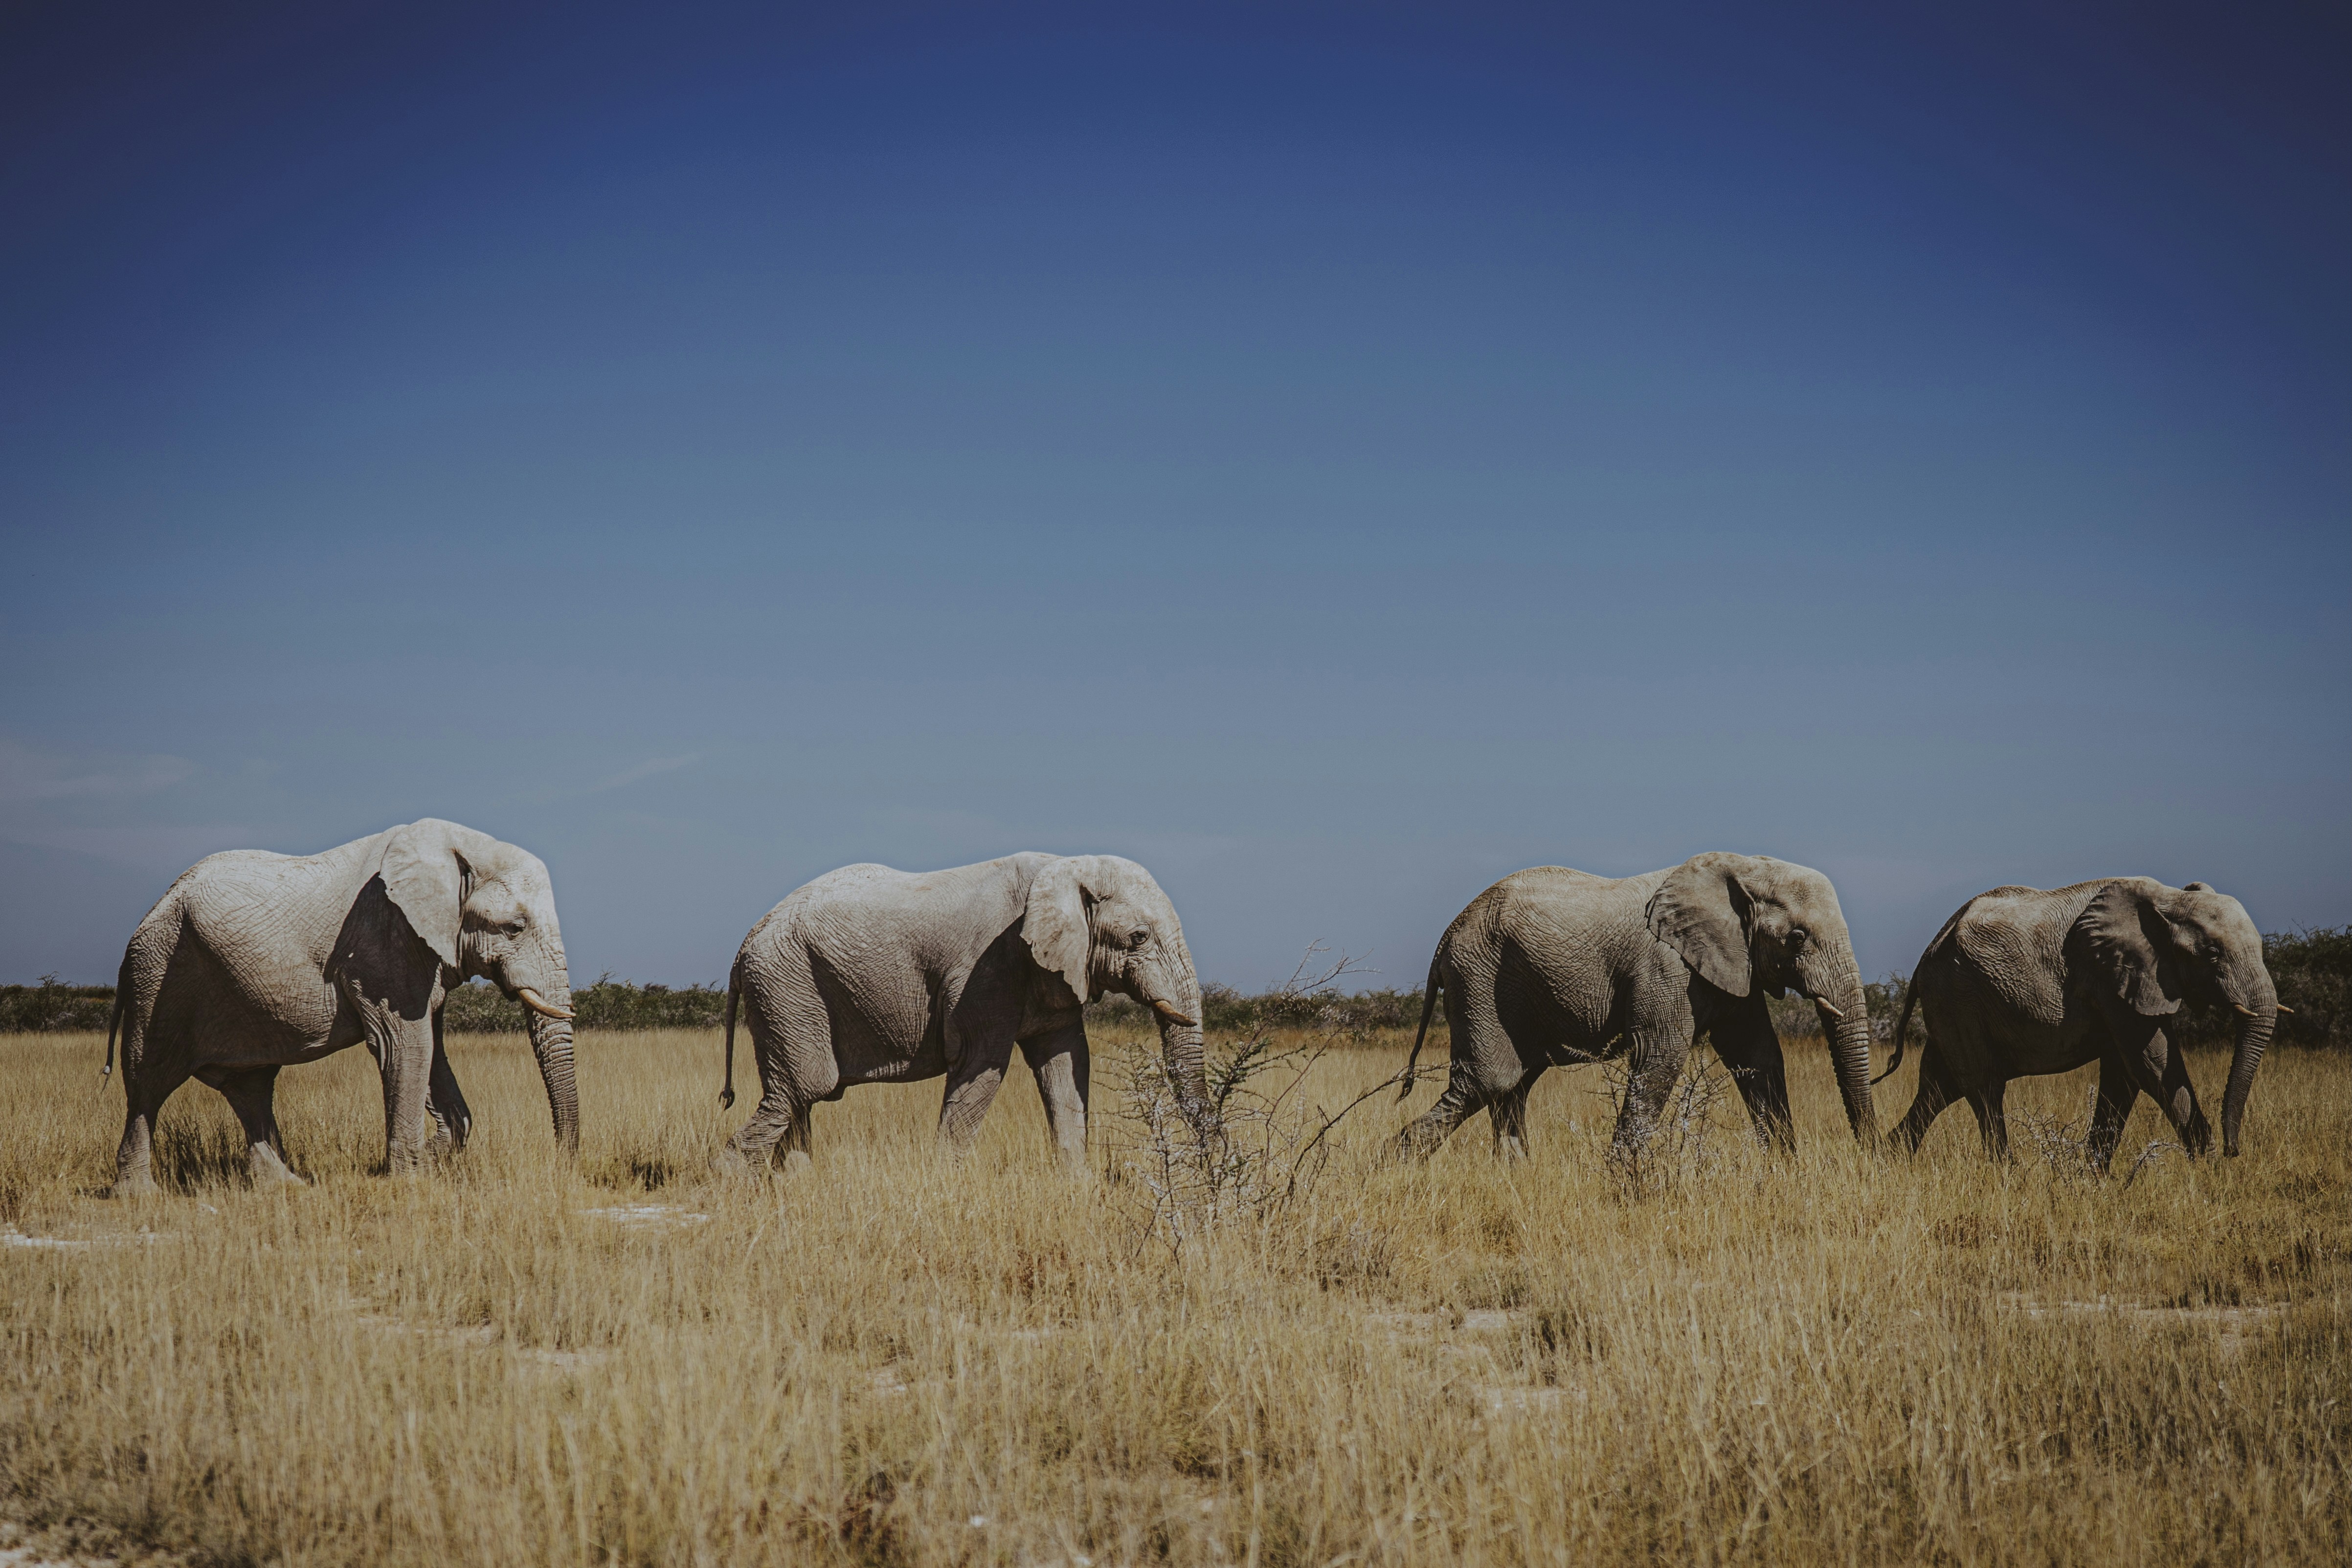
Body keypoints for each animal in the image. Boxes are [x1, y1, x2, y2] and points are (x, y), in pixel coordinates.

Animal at [102, 819, 579, 1195]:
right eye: (514, 928)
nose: (563, 1166)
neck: (456, 847)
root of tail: (143, 922)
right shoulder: (383, 940)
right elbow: (405, 1046)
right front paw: (411, 1179)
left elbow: (429, 1050)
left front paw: (431, 1156)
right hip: (159, 974)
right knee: (149, 1082)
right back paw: (139, 1195)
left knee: (250, 1086)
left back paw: (286, 1187)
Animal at [712, 853, 1215, 1176]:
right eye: (1138, 938)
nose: (1211, 1169)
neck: (1065, 867)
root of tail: (743, 945)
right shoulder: (986, 969)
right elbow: (982, 1065)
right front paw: (945, 1187)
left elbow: (1065, 1062)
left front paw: (1076, 1187)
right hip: (787, 985)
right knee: (803, 1088)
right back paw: (735, 1181)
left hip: (785, 992)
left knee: (799, 1097)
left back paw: (795, 1184)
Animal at [1395, 853, 1880, 1161]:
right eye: (1797, 939)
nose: (1873, 1160)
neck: (1741, 867)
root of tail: (1444, 939)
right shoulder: (1665, 967)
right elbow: (1660, 1055)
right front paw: (1623, 1180)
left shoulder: (1731, 964)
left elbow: (1758, 1057)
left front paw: (1784, 1170)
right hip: (1479, 979)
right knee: (1492, 1079)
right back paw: (1396, 1165)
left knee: (1514, 1085)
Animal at [1882, 877, 2284, 1167]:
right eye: (2212, 954)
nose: (2234, 1150)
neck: (2169, 899)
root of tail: (1927, 953)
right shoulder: (2110, 975)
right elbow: (2151, 1066)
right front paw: (2209, 1168)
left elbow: (2124, 1075)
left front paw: (2091, 1177)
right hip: (1957, 996)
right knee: (1983, 1088)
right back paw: (2008, 1173)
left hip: (1952, 1003)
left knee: (1939, 1086)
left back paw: (1890, 1157)